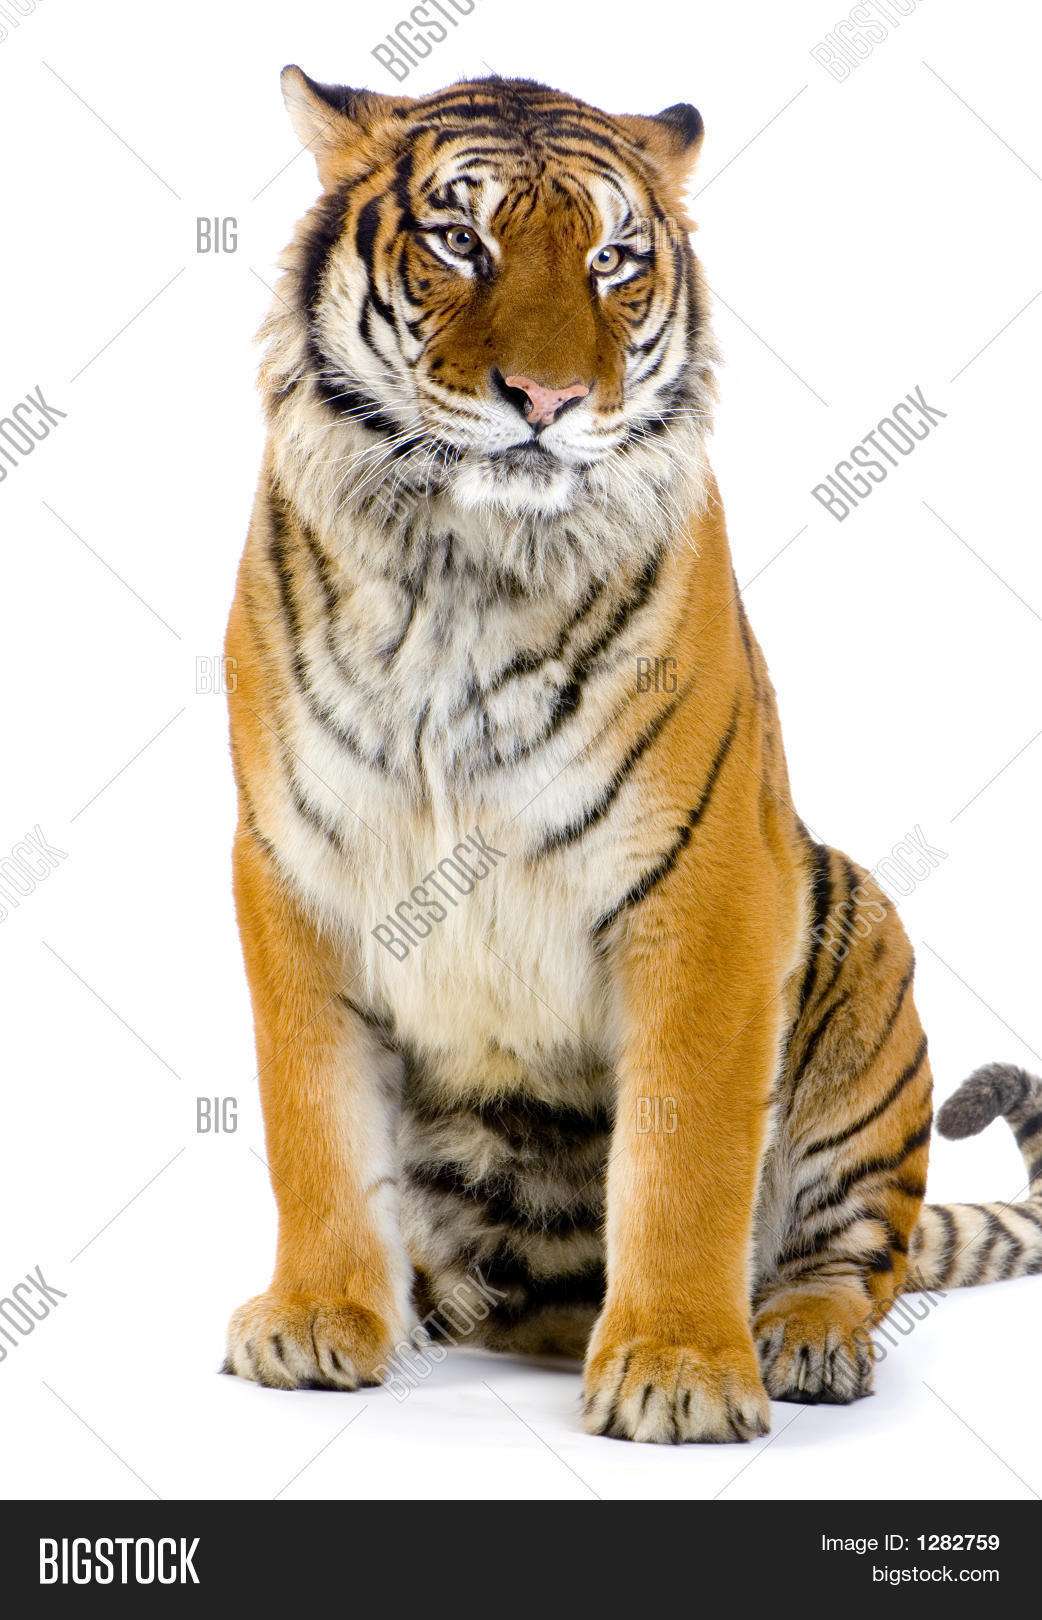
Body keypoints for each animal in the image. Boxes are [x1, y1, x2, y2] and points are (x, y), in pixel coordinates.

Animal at [222, 67, 1042, 1443]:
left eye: (611, 260)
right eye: (462, 241)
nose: (548, 402)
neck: (465, 568)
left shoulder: (705, 891)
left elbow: (684, 1155)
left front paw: (678, 1368)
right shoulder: (296, 872)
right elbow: (314, 1125)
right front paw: (319, 1319)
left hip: (854, 942)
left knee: (856, 1252)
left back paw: (800, 1340)